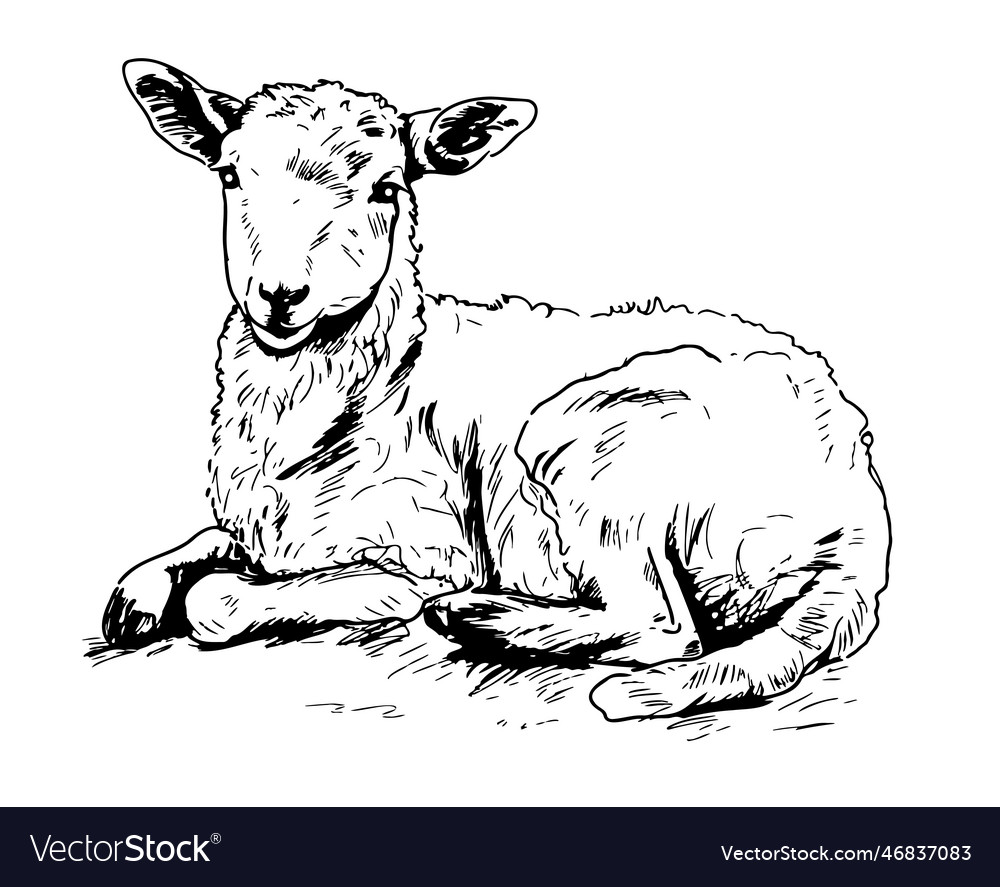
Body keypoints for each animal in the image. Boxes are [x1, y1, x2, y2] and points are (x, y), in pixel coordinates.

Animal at [105, 59, 890, 721]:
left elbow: (218, 599)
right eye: (232, 177)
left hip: (595, 442)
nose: (280, 297)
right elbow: (206, 543)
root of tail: (852, 515)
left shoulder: (421, 550)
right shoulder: (257, 525)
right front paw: (136, 597)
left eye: (388, 188)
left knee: (664, 624)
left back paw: (484, 619)